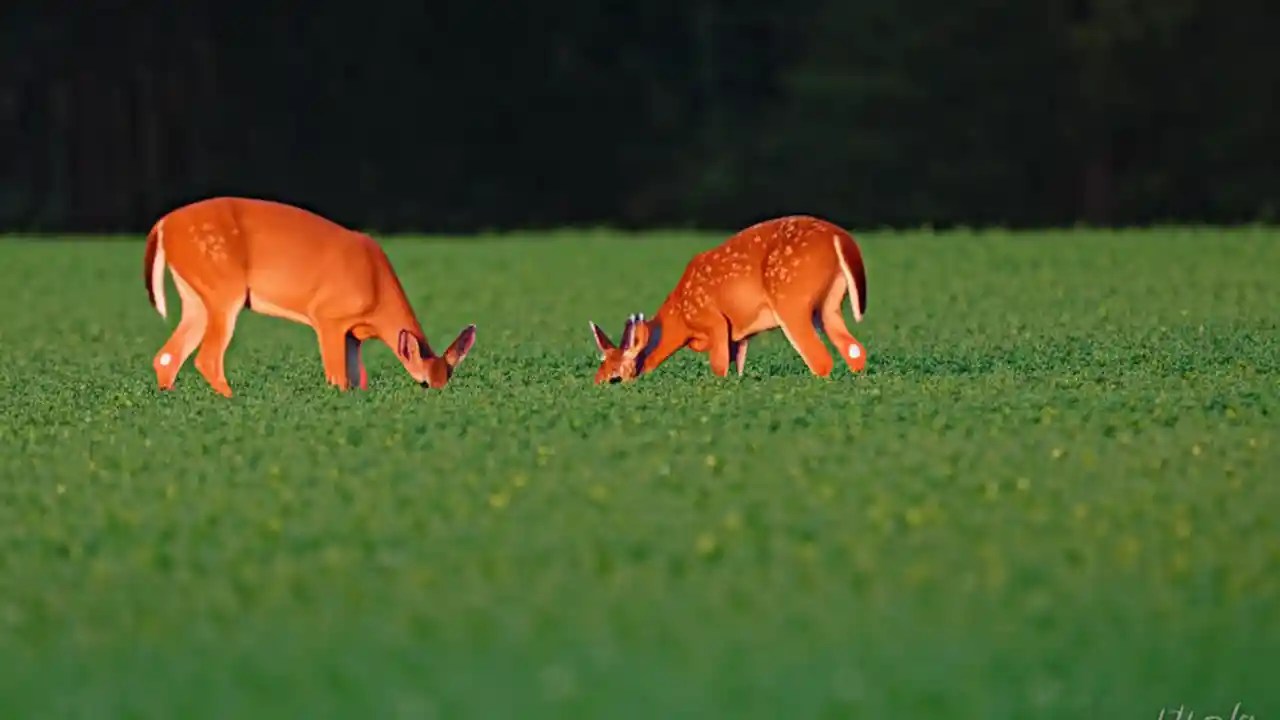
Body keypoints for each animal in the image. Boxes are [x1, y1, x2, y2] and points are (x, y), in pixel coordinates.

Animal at [142, 196, 477, 398]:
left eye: (447, 380)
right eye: (424, 384)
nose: (438, 395)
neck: (376, 292)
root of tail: (163, 224)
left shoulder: (353, 333)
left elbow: (357, 377)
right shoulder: (328, 316)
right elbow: (338, 377)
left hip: (196, 295)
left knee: (167, 356)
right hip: (223, 288)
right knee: (207, 358)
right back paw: (232, 399)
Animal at [588, 215, 868, 384]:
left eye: (615, 379)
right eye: (598, 375)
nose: (597, 387)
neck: (682, 319)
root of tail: (841, 237)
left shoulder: (715, 322)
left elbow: (719, 368)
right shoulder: (739, 336)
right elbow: (737, 368)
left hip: (792, 300)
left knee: (821, 359)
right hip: (829, 304)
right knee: (855, 351)